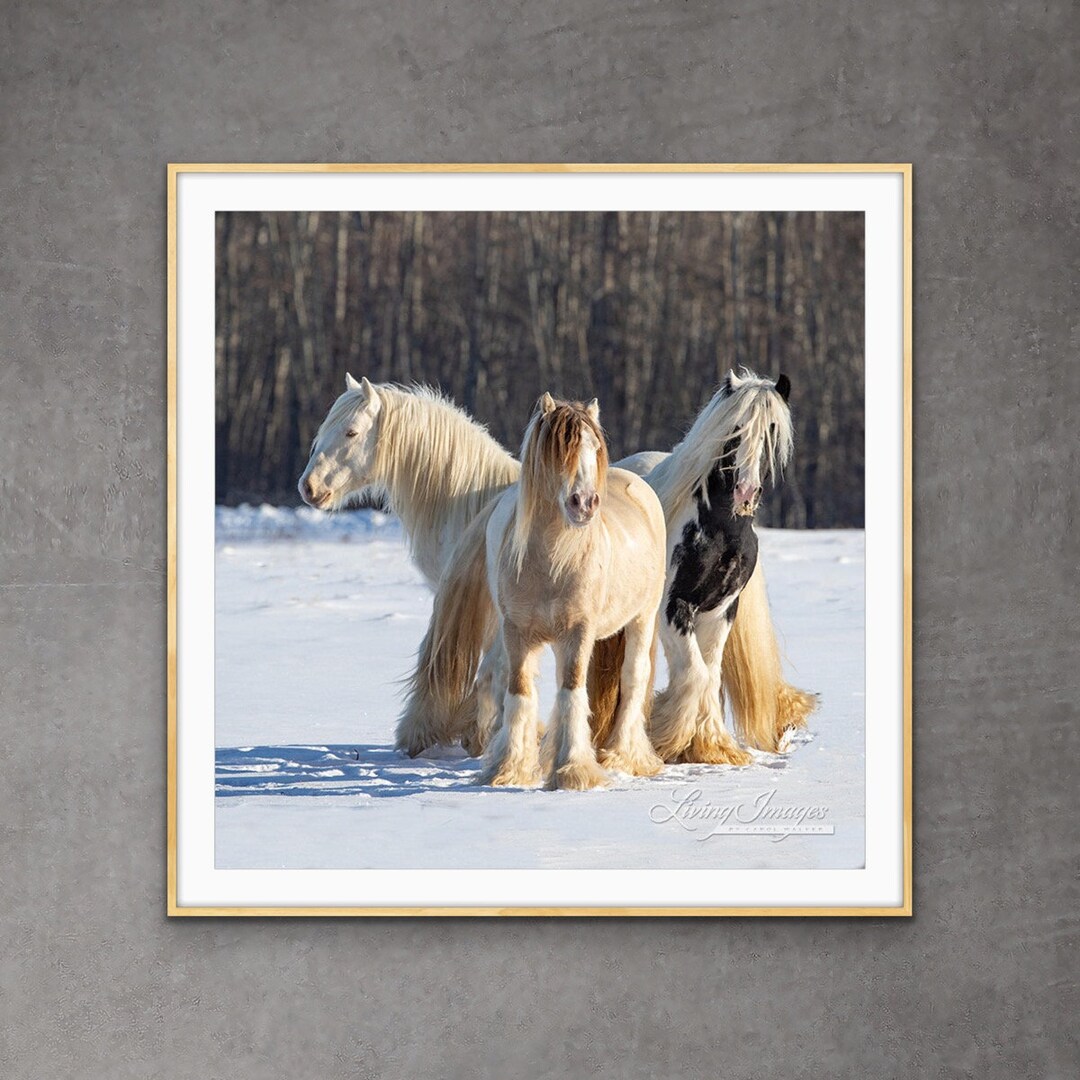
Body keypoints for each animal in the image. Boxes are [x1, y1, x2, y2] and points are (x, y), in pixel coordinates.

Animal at [477, 394, 666, 790]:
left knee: (634, 677)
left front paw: (572, 770)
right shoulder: (517, 631)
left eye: (594, 448)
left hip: (643, 618)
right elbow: (519, 690)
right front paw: (509, 768)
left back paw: (622, 755)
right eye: (557, 451)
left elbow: (572, 691)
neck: (551, 560)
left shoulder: (578, 632)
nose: (585, 503)